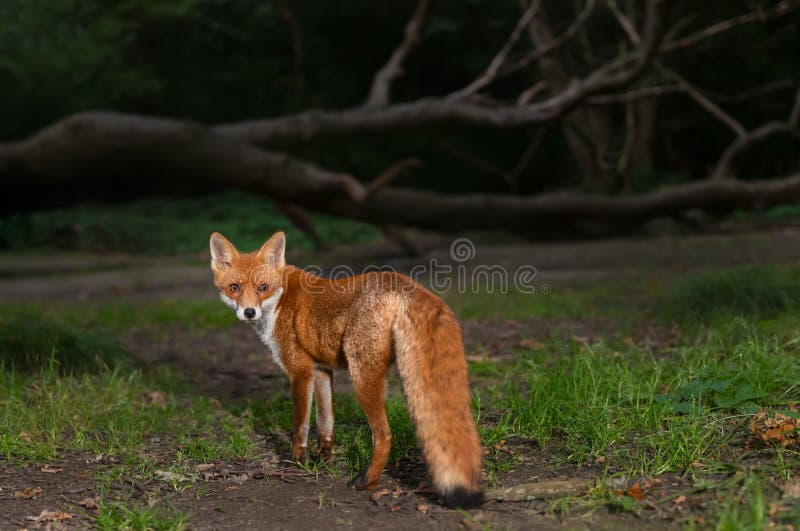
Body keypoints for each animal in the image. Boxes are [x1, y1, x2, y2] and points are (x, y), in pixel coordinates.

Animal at [209, 231, 483, 508]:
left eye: (262, 288)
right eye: (235, 288)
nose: (249, 312)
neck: (280, 298)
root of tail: (408, 284)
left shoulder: (300, 371)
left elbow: (300, 425)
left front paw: (297, 460)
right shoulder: (321, 370)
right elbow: (325, 422)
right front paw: (325, 458)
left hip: (361, 378)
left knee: (384, 435)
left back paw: (367, 481)